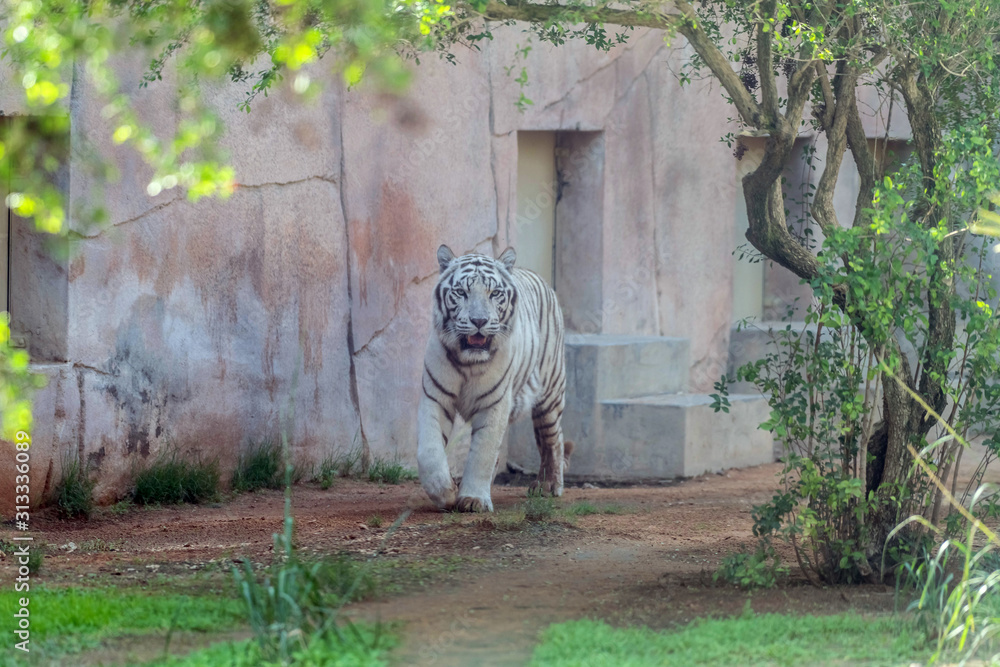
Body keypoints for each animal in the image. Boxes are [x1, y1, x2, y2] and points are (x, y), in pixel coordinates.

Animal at [417, 244, 573, 512]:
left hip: (549, 395)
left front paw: (473, 499)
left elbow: (483, 453)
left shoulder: (494, 404)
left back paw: (548, 485)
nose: (479, 321)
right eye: (461, 292)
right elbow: (428, 451)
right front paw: (445, 492)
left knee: (553, 438)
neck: (467, 362)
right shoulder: (435, 397)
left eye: (495, 294)